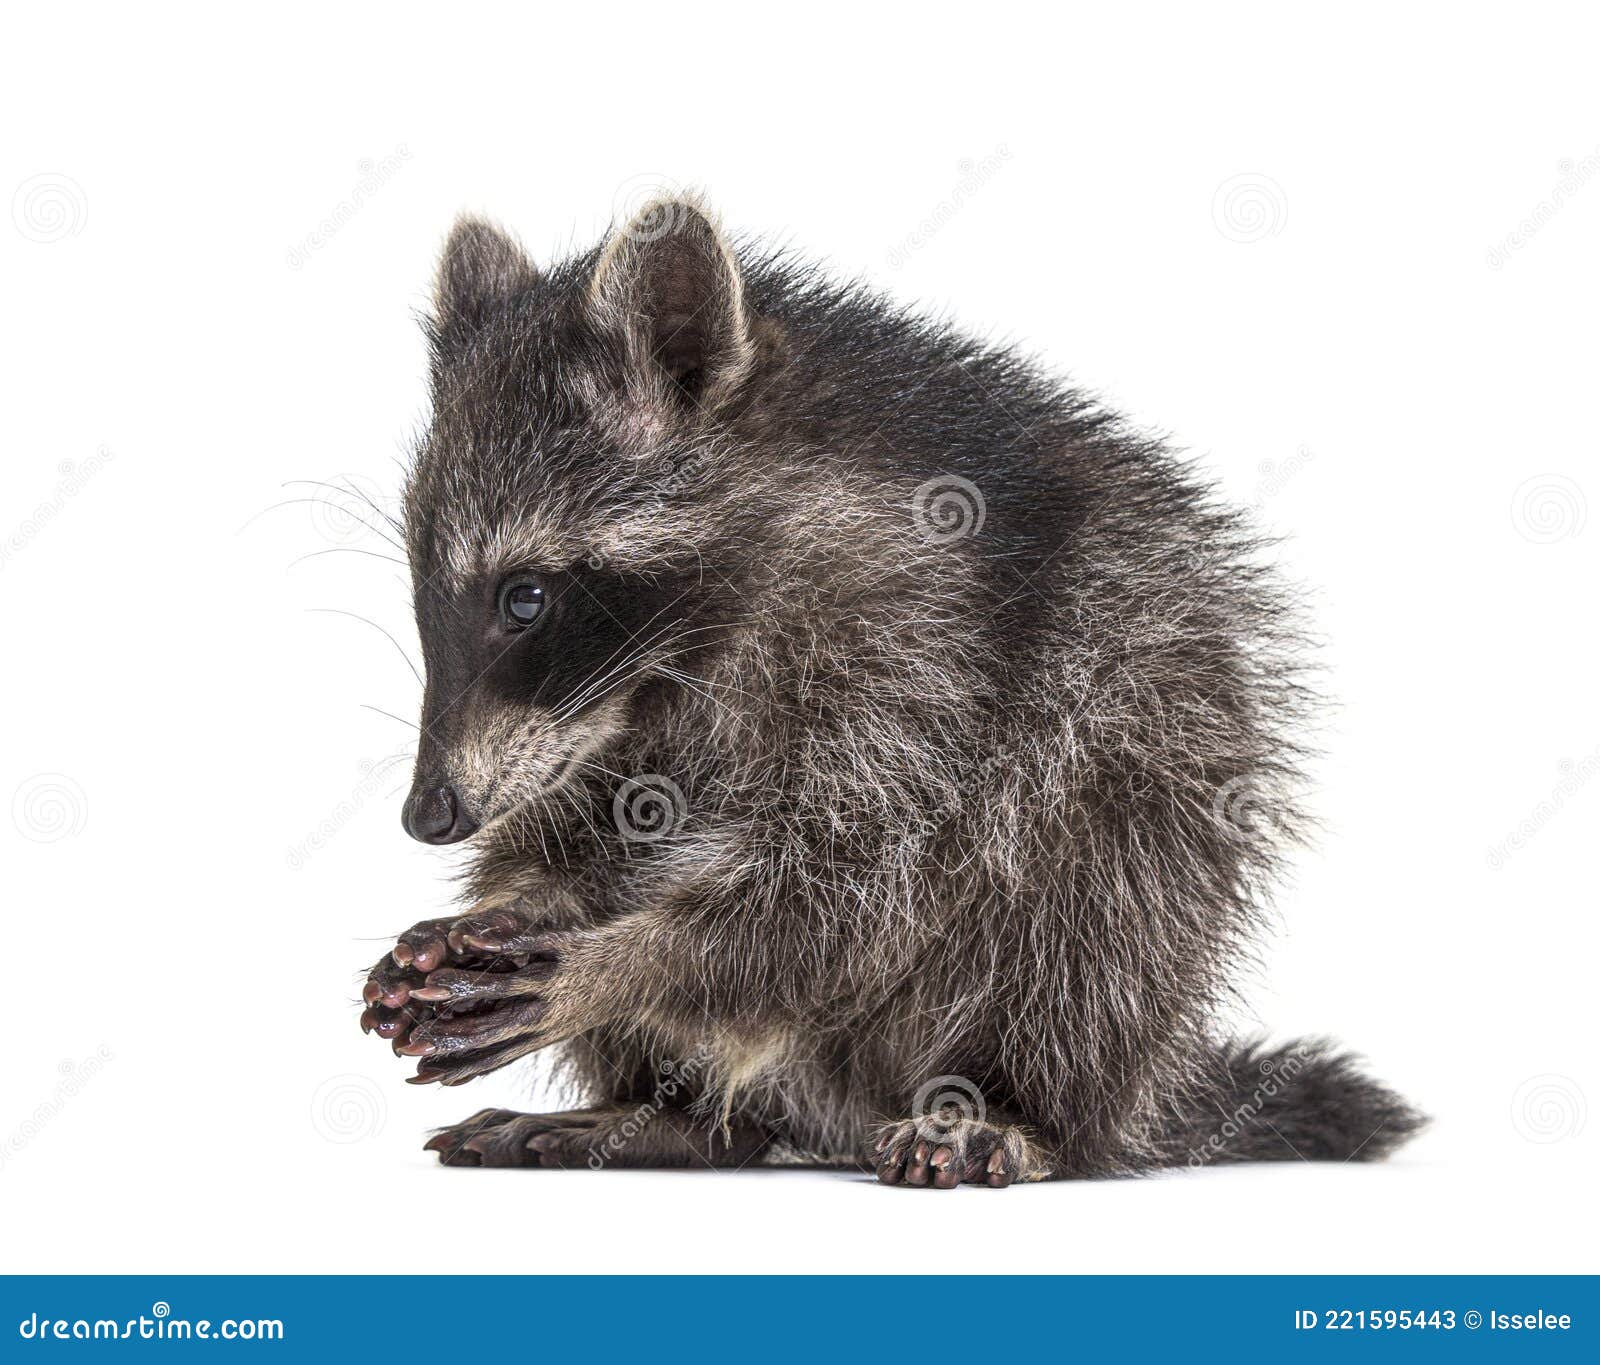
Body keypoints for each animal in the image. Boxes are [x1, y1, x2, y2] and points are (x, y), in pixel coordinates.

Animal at [356, 193, 1423, 1186]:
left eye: (524, 598)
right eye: (423, 591)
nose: (428, 814)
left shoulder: (929, 653)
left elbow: (855, 887)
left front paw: (621, 964)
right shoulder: (595, 727)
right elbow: (576, 830)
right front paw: (525, 904)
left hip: (1155, 745)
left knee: (1088, 911)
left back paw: (1016, 1104)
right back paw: (675, 1116)